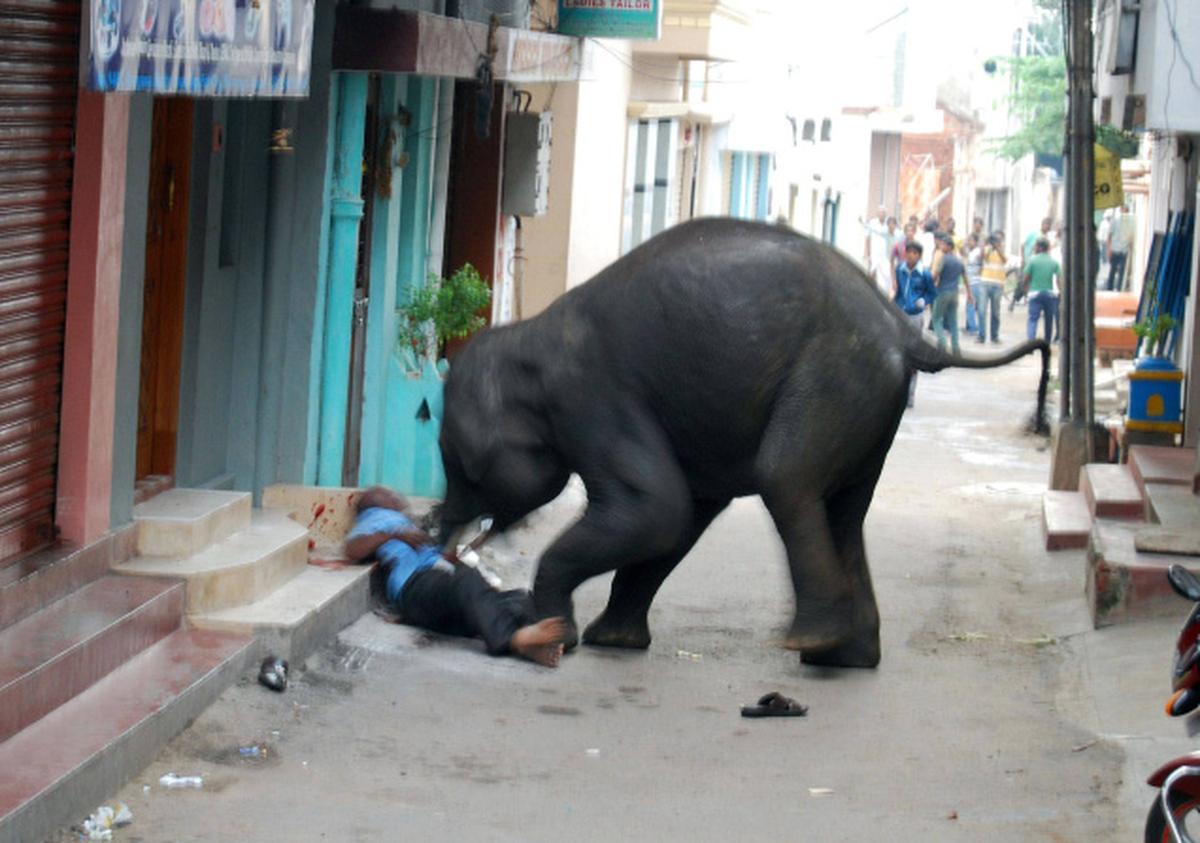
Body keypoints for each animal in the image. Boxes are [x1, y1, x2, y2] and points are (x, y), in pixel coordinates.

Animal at [436, 218, 1049, 668]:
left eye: (461, 466)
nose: (439, 539)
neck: (530, 337)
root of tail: (902, 328)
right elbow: (685, 515)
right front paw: (612, 640)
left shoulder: (589, 398)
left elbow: (656, 509)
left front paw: (558, 636)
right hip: (870, 402)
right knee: (844, 510)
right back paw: (846, 657)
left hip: (834, 380)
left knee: (787, 479)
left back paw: (811, 642)